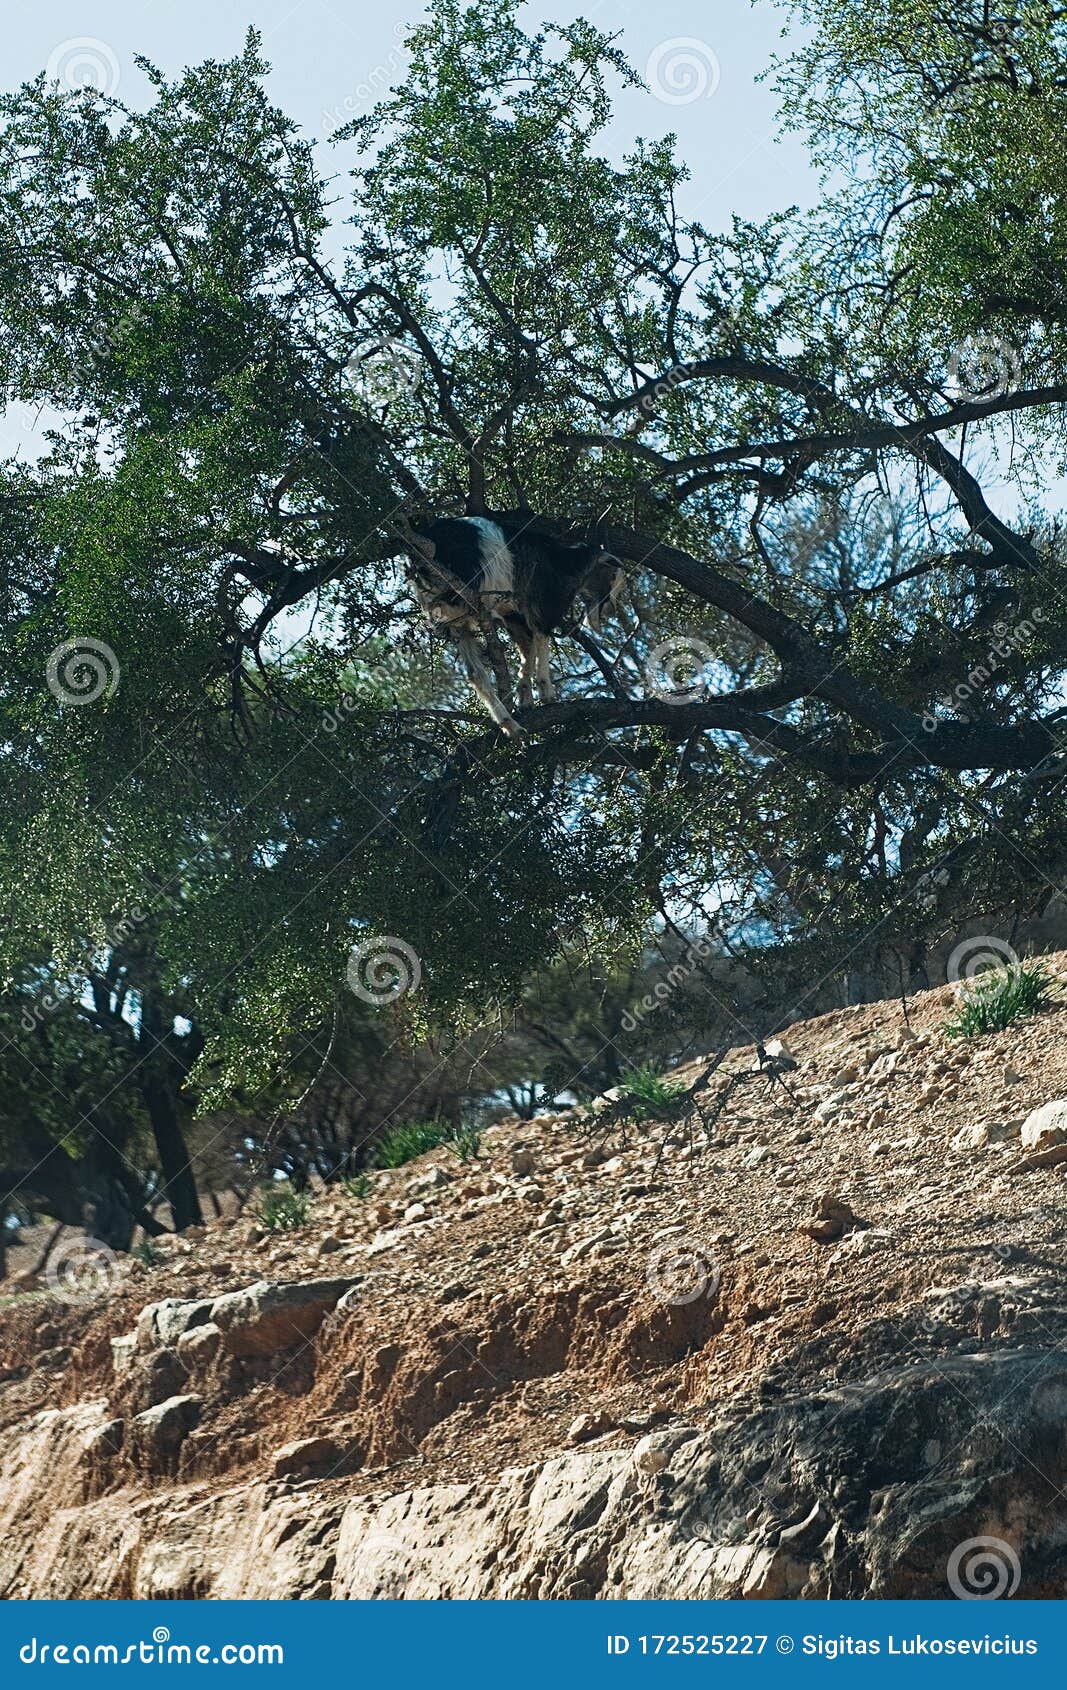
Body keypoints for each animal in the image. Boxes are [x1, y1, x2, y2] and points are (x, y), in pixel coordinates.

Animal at [410, 515, 625, 736]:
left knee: (475, 674)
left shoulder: (514, 613)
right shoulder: (541, 604)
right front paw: (546, 692)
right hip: (466, 587)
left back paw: (510, 725)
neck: (560, 562)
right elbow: (541, 636)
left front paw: (525, 698)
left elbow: (527, 645)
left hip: (457, 625)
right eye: (612, 576)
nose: (611, 610)